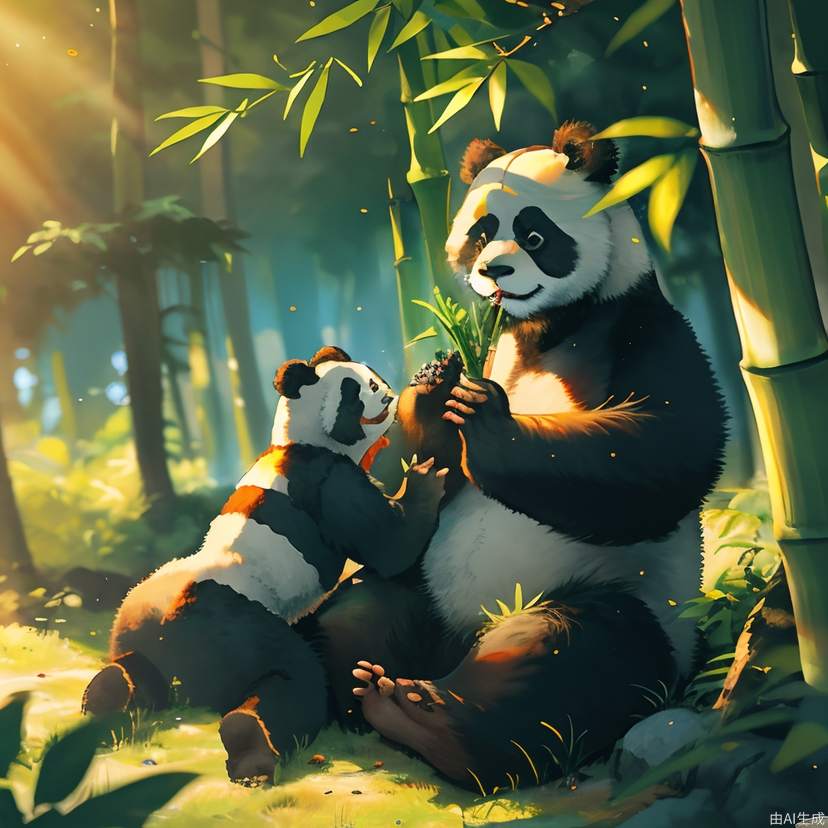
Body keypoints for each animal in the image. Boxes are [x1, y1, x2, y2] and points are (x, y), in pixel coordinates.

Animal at [81, 345, 447, 786]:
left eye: (373, 378)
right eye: (364, 390)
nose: (389, 395)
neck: (298, 437)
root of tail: (169, 629)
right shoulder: (326, 481)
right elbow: (389, 546)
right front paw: (426, 478)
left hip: (134, 621)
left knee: (137, 670)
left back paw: (103, 701)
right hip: (231, 625)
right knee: (294, 674)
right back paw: (251, 747)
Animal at [346, 123, 728, 791]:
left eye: (534, 235)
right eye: (479, 231)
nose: (494, 271)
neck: (545, 327)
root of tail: (457, 642)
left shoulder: (643, 328)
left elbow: (659, 449)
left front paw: (483, 415)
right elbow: (431, 467)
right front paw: (434, 388)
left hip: (624, 598)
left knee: (568, 659)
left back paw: (422, 714)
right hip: (424, 587)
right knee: (358, 611)